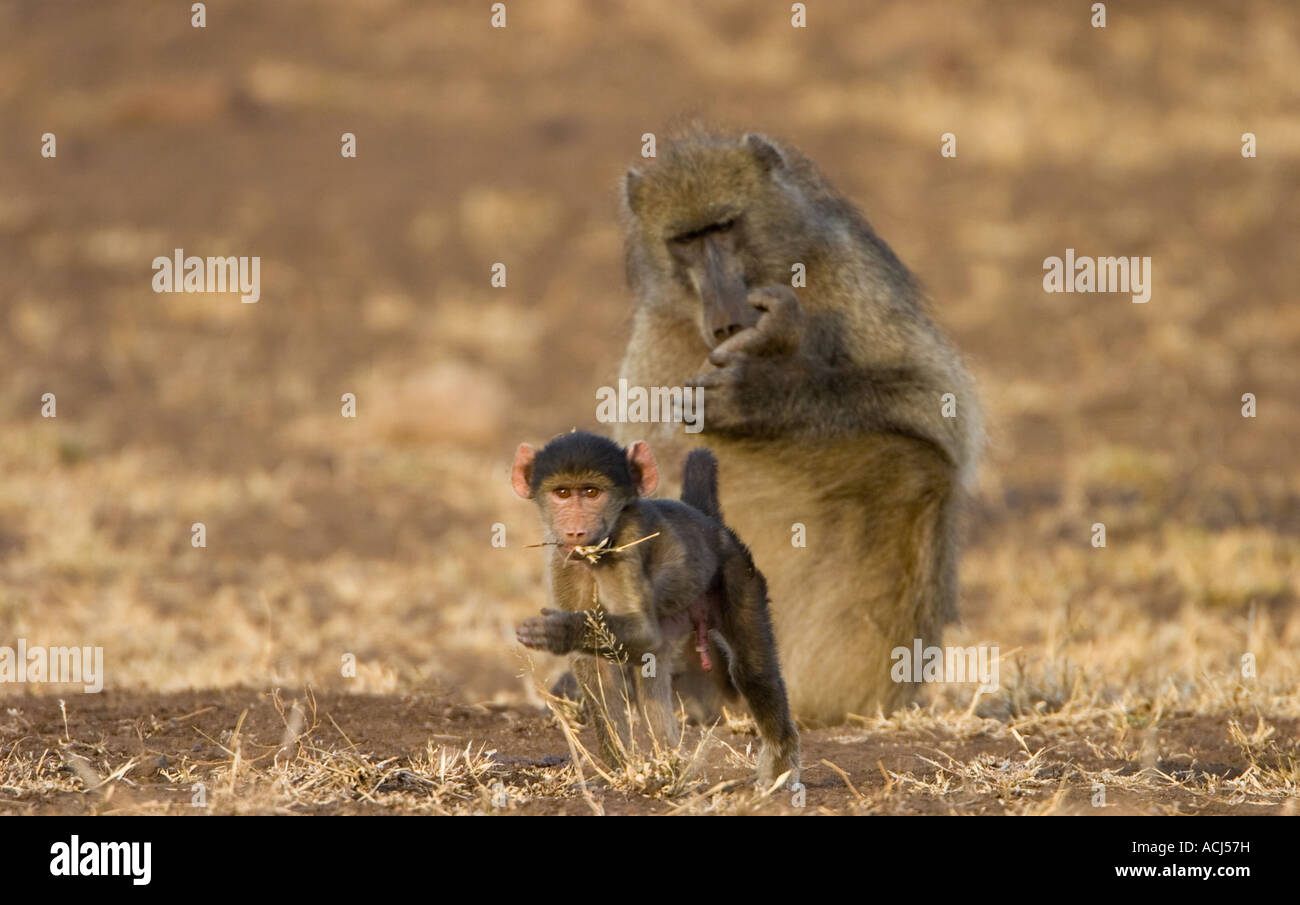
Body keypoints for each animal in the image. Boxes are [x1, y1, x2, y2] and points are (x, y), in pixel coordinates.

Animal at [511, 430, 800, 786]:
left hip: (739, 574)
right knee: (653, 666)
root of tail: (709, 522)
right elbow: (600, 665)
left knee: (751, 671)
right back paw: (672, 763)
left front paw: (558, 631)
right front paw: (619, 767)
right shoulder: (564, 563)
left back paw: (778, 770)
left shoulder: (628, 546)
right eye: (562, 493)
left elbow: (642, 632)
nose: (576, 530)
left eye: (591, 492)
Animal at [608, 125, 983, 725]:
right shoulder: (657, 332)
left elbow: (938, 406)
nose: (727, 320)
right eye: (685, 240)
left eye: (724, 226)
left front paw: (767, 383)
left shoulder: (849, 270)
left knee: (916, 468)